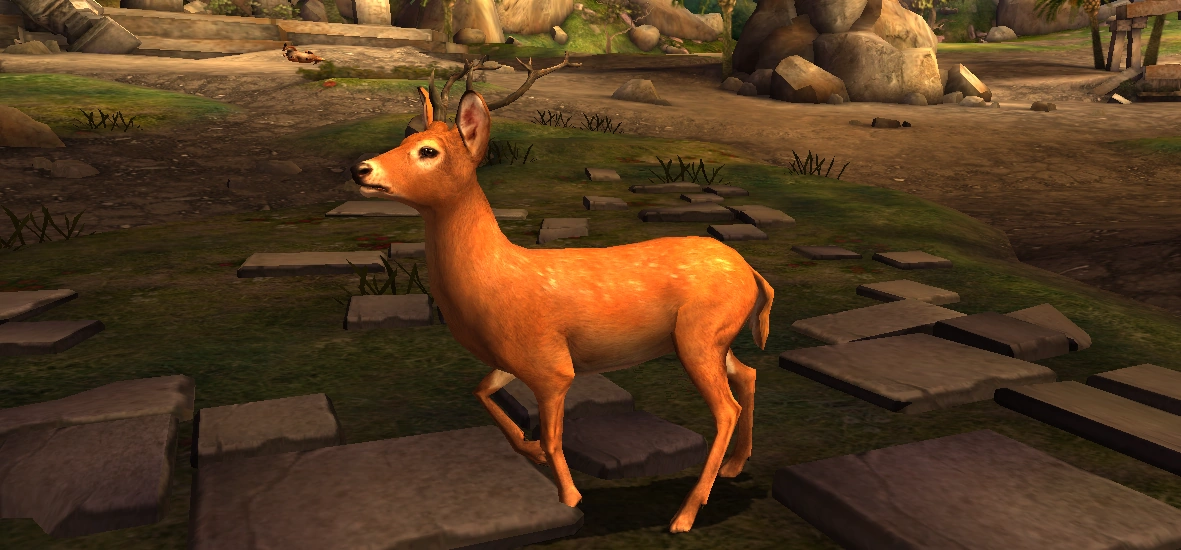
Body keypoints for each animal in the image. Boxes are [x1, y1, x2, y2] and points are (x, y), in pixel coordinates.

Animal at [351, 78, 774, 534]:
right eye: (404, 138)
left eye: (428, 151)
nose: (361, 169)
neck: (493, 281)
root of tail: (754, 274)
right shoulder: (515, 359)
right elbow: (481, 391)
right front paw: (531, 450)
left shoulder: (552, 366)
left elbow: (555, 436)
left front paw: (570, 496)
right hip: (712, 338)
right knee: (748, 374)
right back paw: (734, 466)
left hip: (699, 335)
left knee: (726, 409)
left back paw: (684, 515)